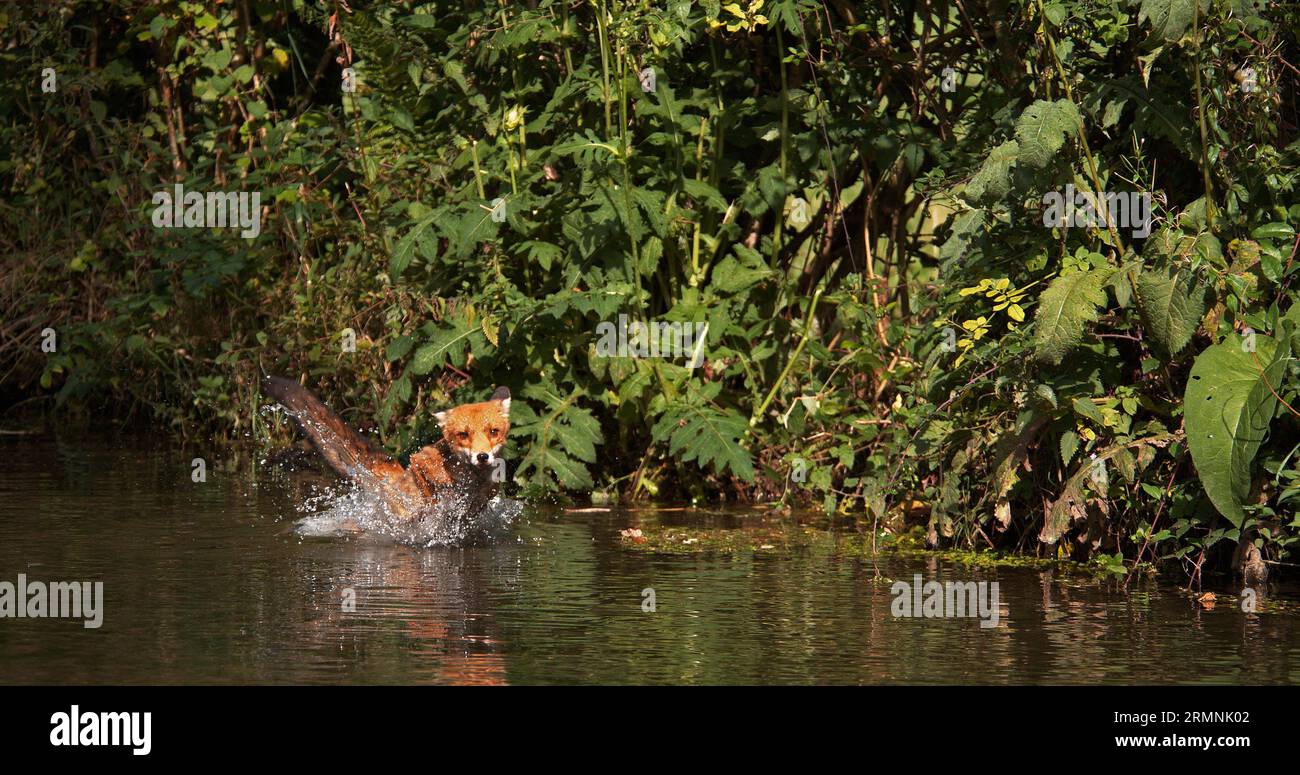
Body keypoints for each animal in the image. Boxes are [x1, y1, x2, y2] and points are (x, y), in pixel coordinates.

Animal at [261, 375, 510, 524]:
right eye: (463, 435)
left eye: (493, 432)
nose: (482, 456)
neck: (471, 478)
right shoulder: (420, 461)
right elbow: (430, 496)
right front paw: (436, 514)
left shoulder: (490, 486)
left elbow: (484, 498)